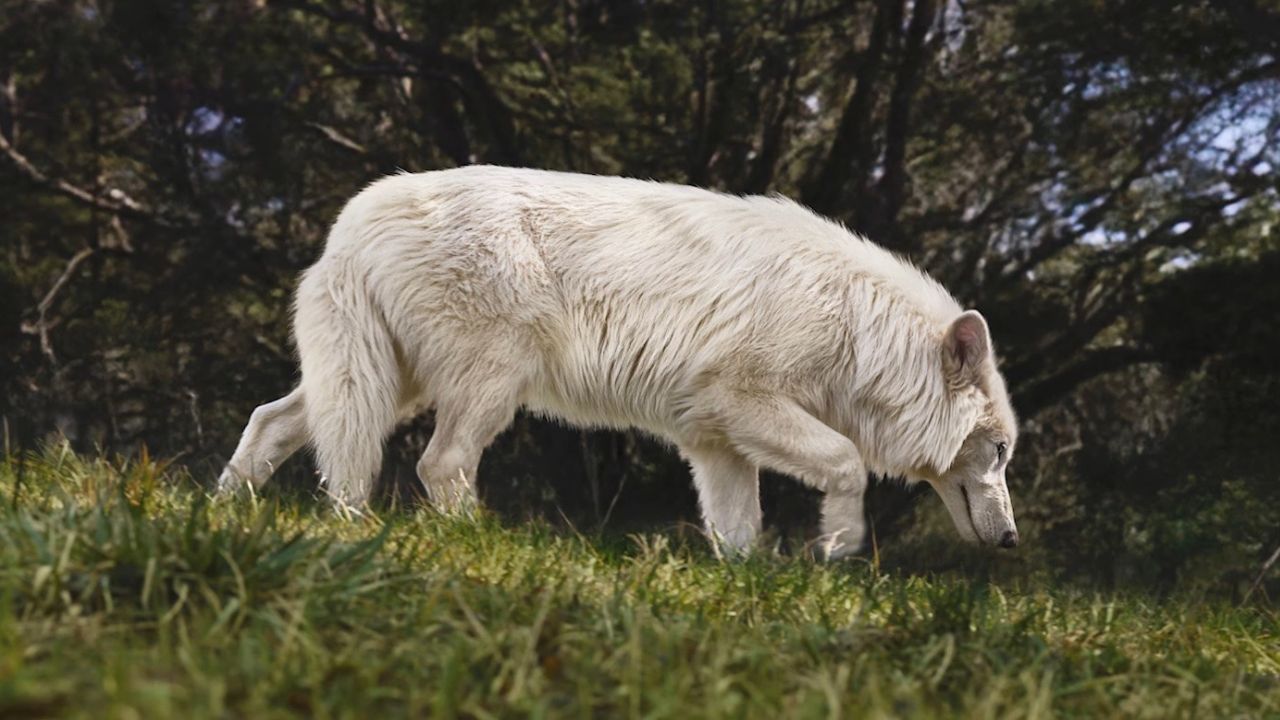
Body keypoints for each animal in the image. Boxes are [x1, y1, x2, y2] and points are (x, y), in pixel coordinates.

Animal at [219, 166, 1019, 557]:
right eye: (1003, 451)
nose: (1012, 539)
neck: (858, 328)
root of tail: (353, 221)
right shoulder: (745, 399)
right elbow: (848, 463)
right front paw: (840, 547)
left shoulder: (715, 442)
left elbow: (741, 535)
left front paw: (749, 592)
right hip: (487, 386)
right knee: (438, 464)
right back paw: (476, 539)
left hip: (384, 385)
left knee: (273, 422)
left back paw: (234, 512)